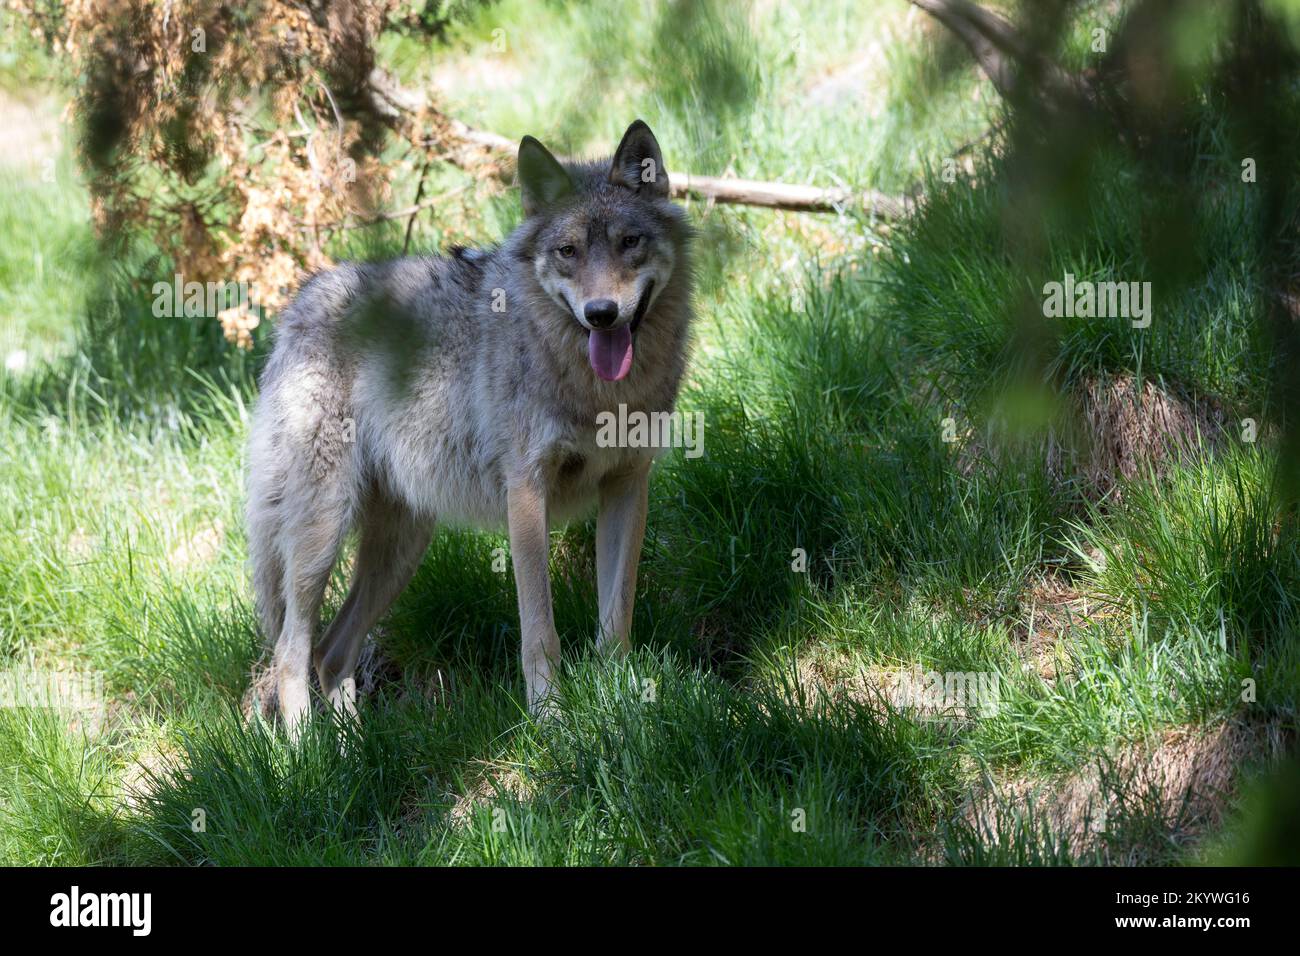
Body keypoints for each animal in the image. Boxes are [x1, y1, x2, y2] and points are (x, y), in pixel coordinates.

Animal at [245, 120, 694, 734]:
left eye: (630, 242)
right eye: (568, 252)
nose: (601, 313)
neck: (597, 390)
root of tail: (299, 302)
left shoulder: (628, 485)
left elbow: (616, 618)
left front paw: (621, 704)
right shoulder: (525, 493)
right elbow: (540, 631)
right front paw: (551, 722)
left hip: (401, 550)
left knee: (331, 651)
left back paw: (353, 747)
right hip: (322, 537)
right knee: (292, 650)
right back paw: (306, 753)